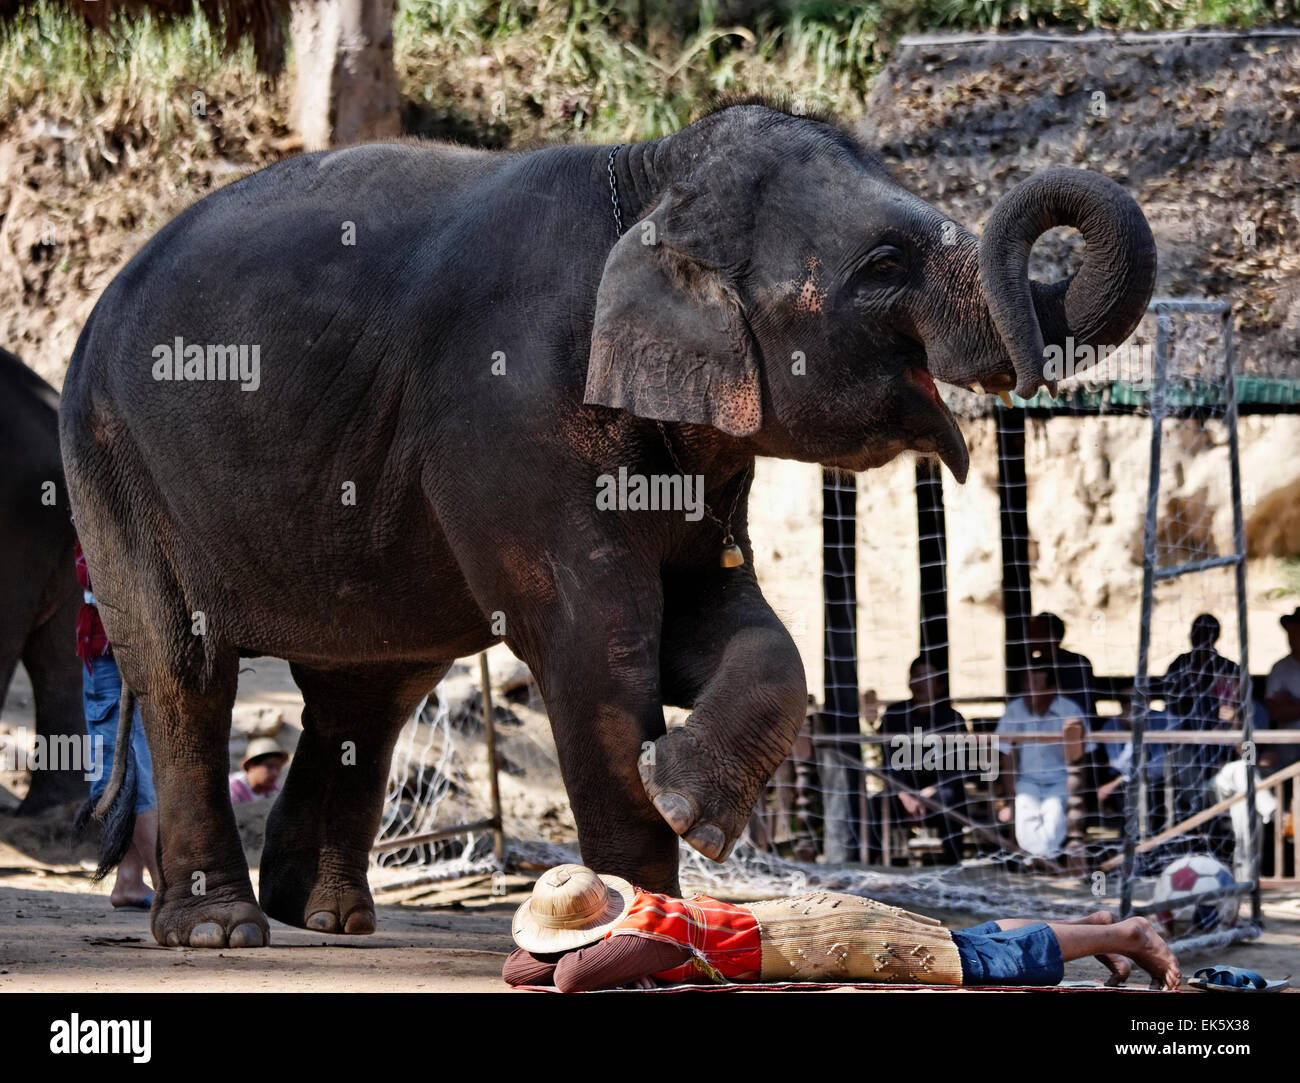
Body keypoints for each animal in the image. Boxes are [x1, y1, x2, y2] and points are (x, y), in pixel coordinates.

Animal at [59, 99, 1155, 948]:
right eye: (883, 264)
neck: (648, 175)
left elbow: (727, 628)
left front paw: (679, 801)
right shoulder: (512, 412)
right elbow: (600, 642)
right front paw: (646, 917)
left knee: (369, 687)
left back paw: (325, 917)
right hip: (115, 463)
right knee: (186, 667)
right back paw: (221, 929)